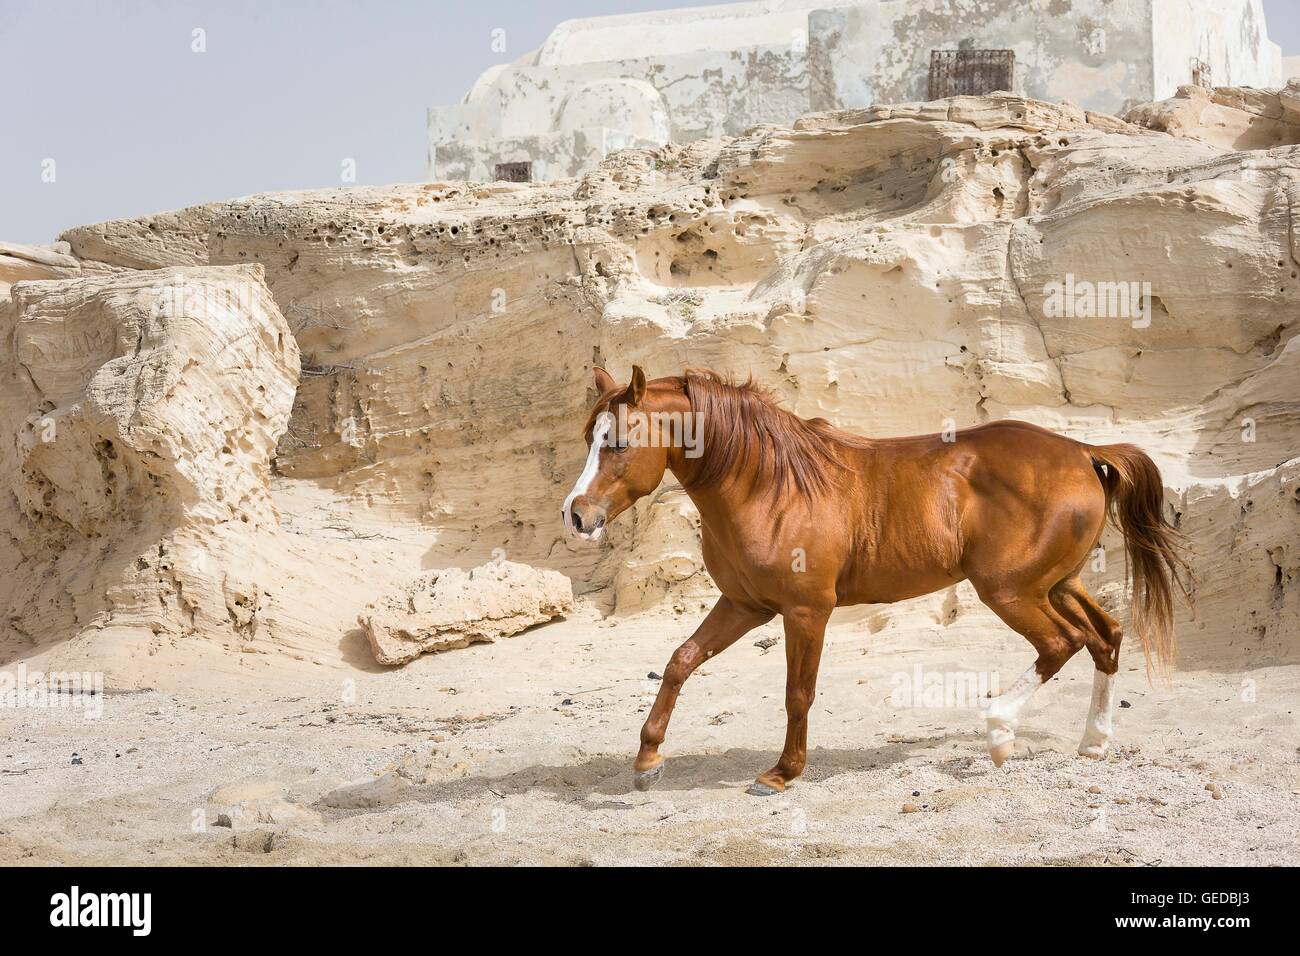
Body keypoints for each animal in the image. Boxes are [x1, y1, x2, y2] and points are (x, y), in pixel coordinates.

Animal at [562, 365, 1190, 796]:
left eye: (617, 442)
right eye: (588, 437)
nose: (576, 514)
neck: (769, 485)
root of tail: (1083, 451)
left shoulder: (805, 611)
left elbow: (797, 693)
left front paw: (782, 773)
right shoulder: (744, 605)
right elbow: (680, 661)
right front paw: (647, 761)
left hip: (1010, 592)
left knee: (1063, 644)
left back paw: (999, 733)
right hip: (1056, 585)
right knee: (1106, 638)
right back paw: (1094, 744)